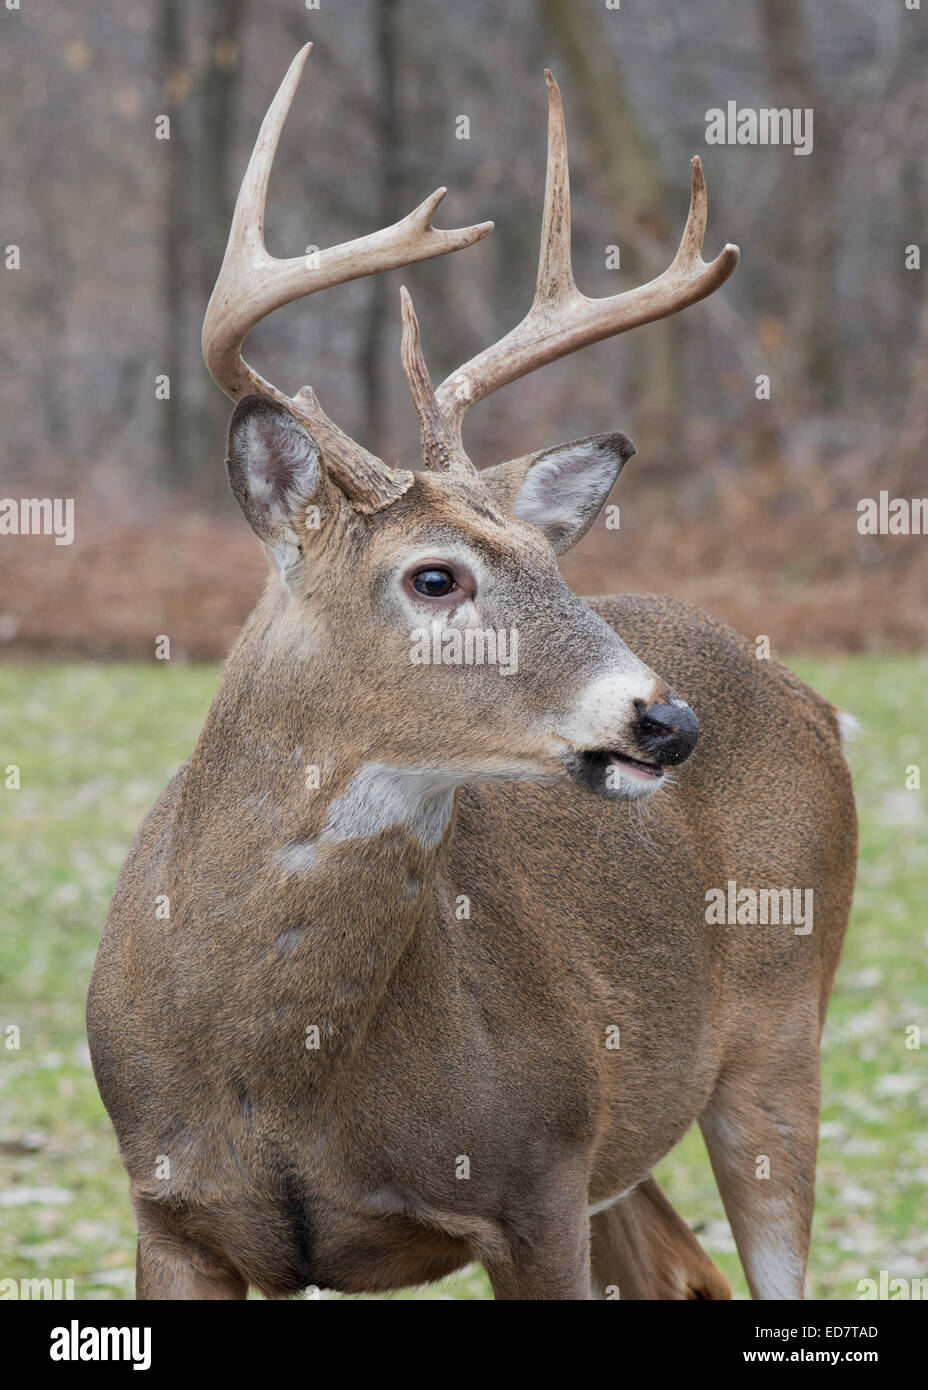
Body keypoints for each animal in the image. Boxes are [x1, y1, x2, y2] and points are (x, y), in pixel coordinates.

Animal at [87, 45, 857, 1301]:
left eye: (551, 558)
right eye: (434, 577)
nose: (665, 721)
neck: (277, 1069)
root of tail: (807, 696)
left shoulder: (536, 1171)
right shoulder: (171, 1210)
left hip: (780, 1034)